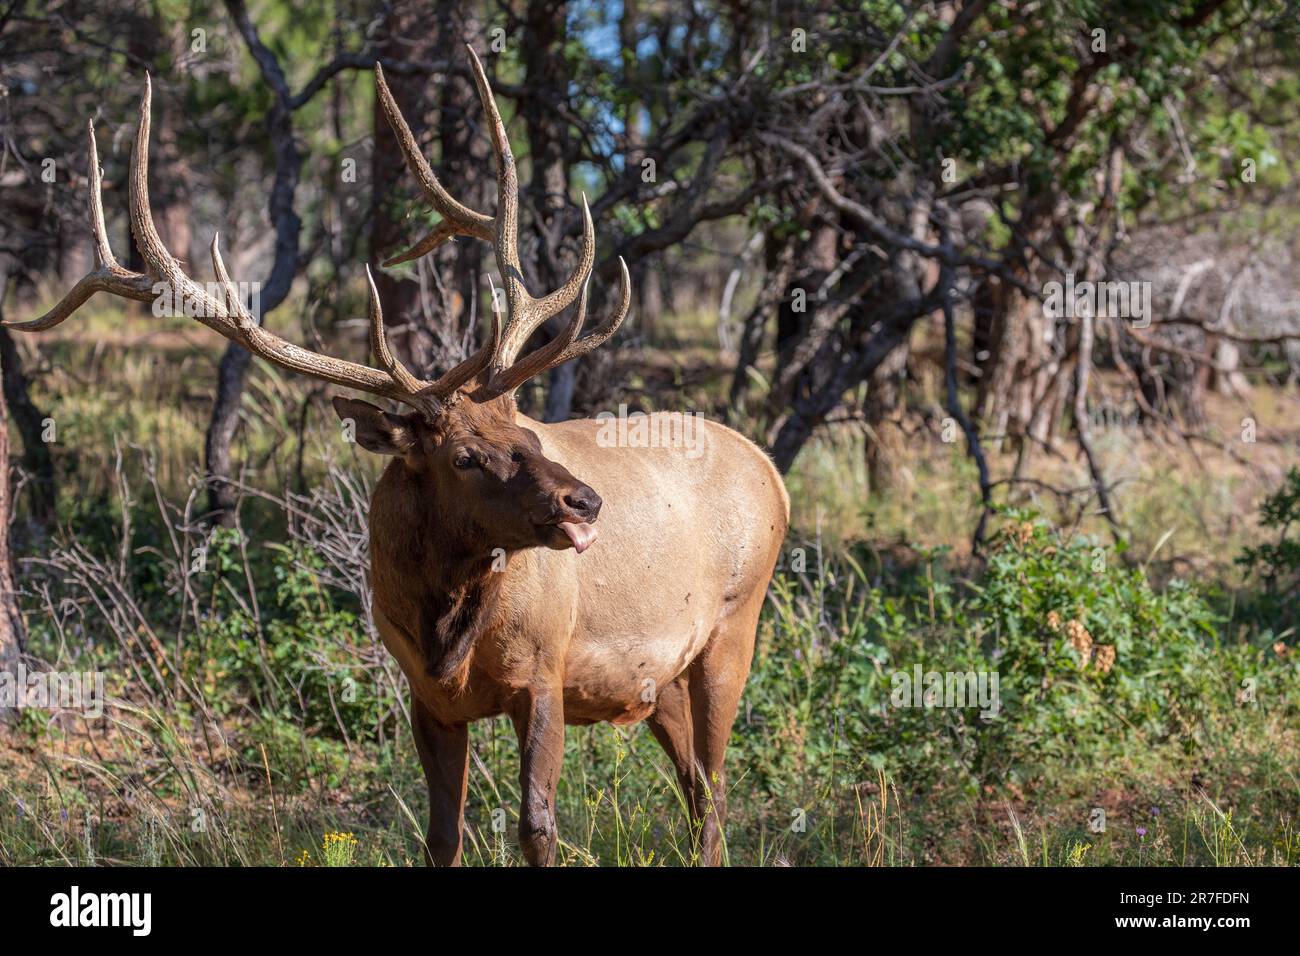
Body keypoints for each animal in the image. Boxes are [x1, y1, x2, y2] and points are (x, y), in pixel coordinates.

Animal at [7, 47, 789, 867]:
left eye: (528, 436)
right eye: (468, 456)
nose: (586, 500)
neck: (448, 627)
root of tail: (772, 471)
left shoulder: (544, 673)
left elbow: (537, 827)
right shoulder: (427, 695)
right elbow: (442, 832)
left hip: (734, 627)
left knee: (716, 787)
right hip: (656, 678)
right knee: (698, 786)